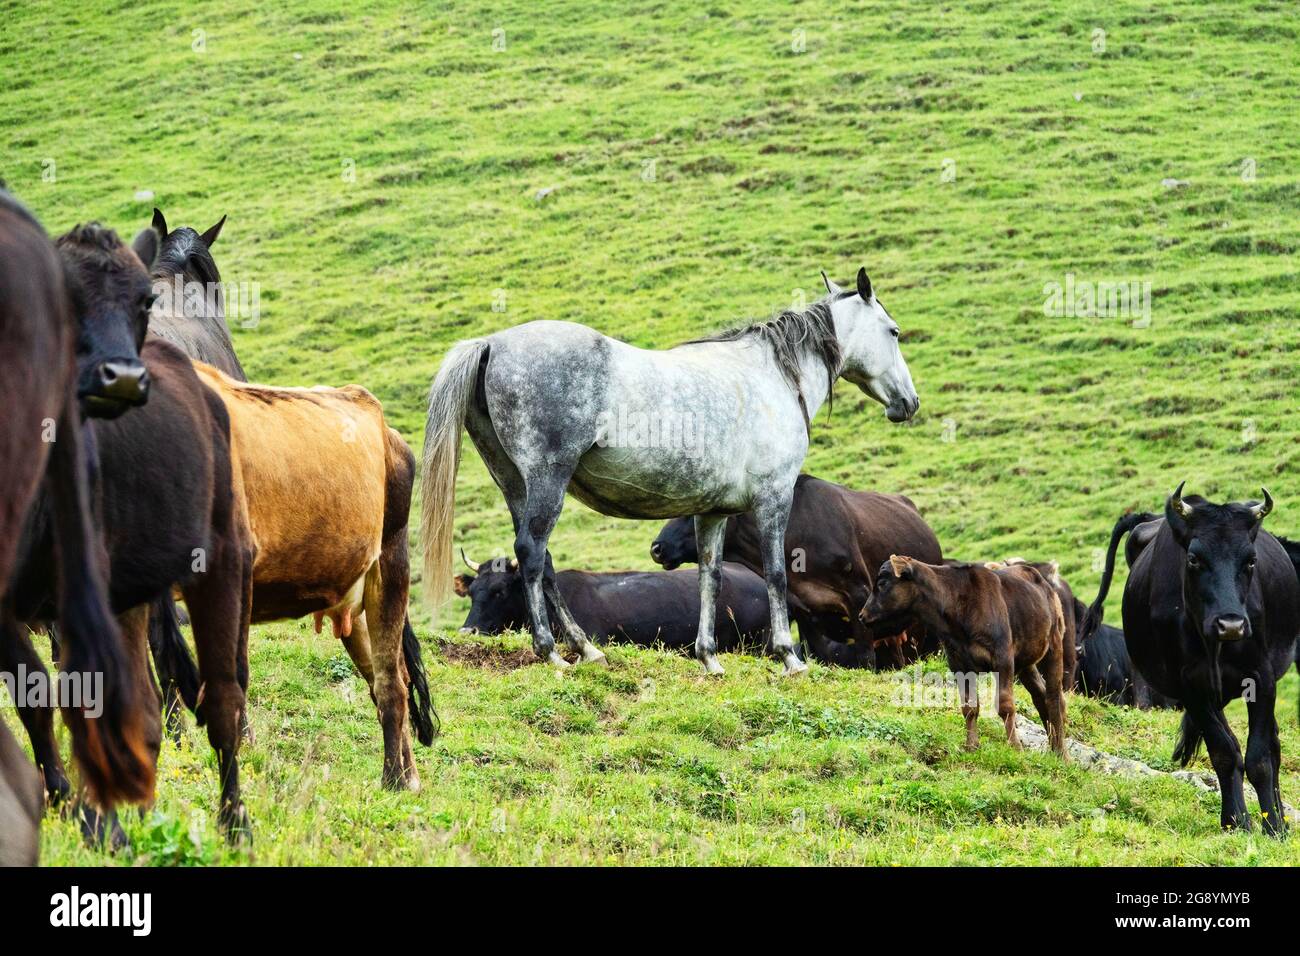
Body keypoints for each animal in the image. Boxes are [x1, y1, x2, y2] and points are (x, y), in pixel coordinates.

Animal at [862, 555, 1068, 757]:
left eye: (882, 583)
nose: (862, 615)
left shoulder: (1003, 659)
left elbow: (1005, 705)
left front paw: (1015, 747)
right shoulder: (959, 664)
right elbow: (969, 707)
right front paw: (971, 746)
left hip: (1055, 645)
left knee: (1054, 698)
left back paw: (1061, 754)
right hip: (1026, 662)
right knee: (1040, 695)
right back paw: (1053, 748)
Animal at [1083, 485, 1299, 836]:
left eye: (1251, 560)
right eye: (1194, 558)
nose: (1231, 625)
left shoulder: (1261, 678)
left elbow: (1260, 758)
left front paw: (1273, 827)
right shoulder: (1190, 687)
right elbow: (1224, 752)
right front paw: (1236, 821)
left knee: (1273, 747)